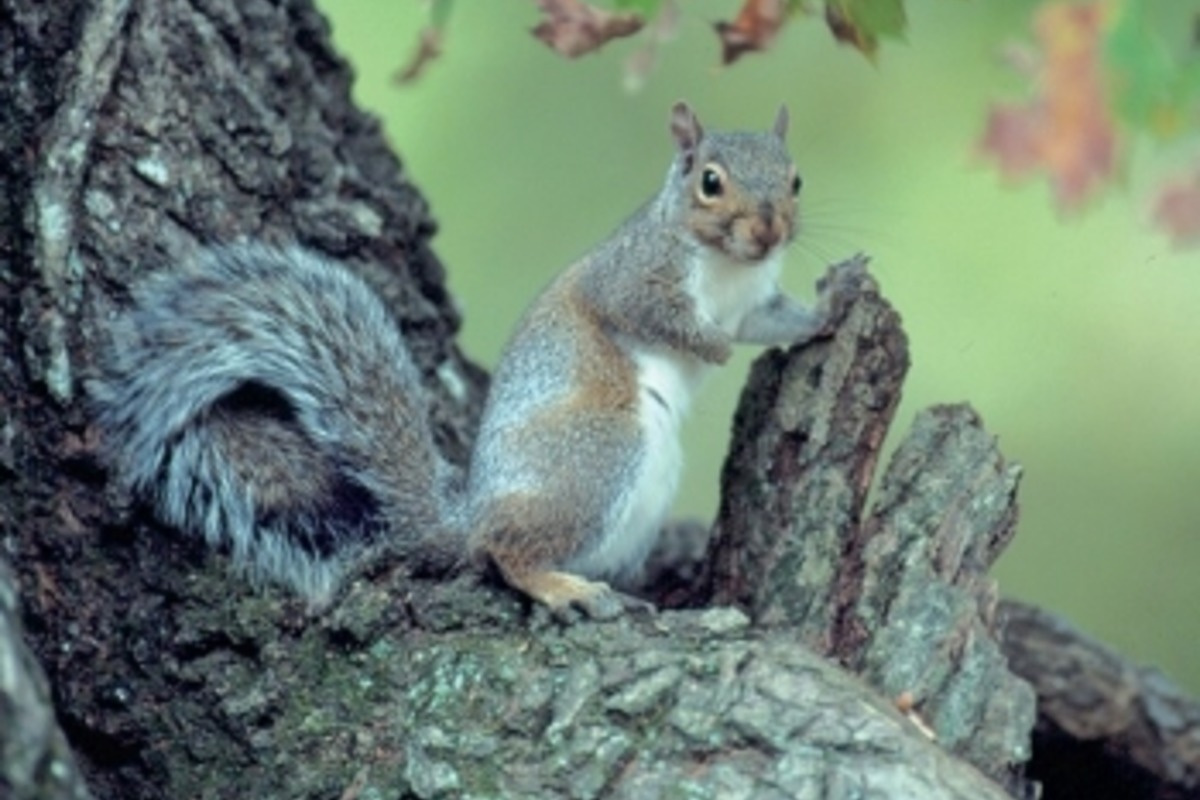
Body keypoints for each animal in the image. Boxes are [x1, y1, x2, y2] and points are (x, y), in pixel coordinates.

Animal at [90, 101, 867, 618]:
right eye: (709, 180)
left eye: (795, 180)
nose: (769, 229)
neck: (727, 268)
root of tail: (467, 517)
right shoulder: (632, 278)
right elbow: (653, 318)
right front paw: (712, 346)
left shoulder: (755, 300)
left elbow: (778, 320)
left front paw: (836, 302)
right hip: (599, 450)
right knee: (504, 551)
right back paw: (559, 587)